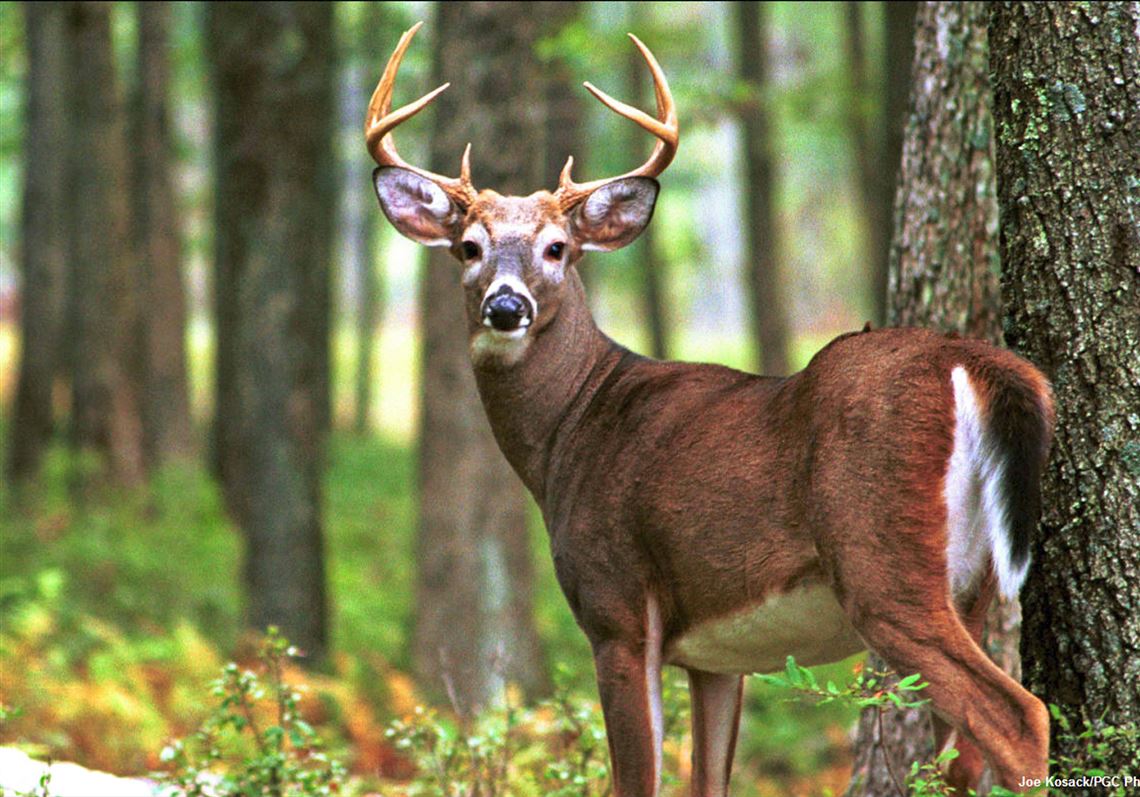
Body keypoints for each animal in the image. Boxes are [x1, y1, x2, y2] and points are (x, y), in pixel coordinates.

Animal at [365, 23, 1054, 797]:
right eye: (468, 248)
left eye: (557, 248)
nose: (506, 306)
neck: (571, 429)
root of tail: (975, 362)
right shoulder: (716, 656)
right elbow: (707, 778)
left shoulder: (616, 606)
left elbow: (636, 778)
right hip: (973, 583)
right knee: (964, 753)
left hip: (883, 558)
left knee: (1018, 714)